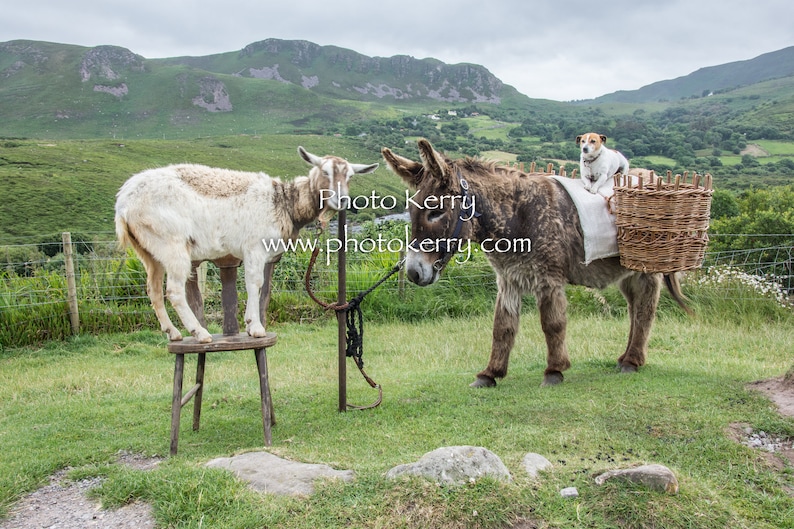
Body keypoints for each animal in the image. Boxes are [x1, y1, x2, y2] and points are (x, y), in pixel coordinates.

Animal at [115, 146, 378, 343]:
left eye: (350, 176)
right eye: (325, 171)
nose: (342, 200)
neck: (283, 202)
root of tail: (124, 203)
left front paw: (252, 324)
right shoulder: (254, 248)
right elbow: (255, 283)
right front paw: (255, 327)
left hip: (149, 250)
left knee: (153, 290)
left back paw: (173, 333)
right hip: (171, 244)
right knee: (174, 291)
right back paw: (199, 333)